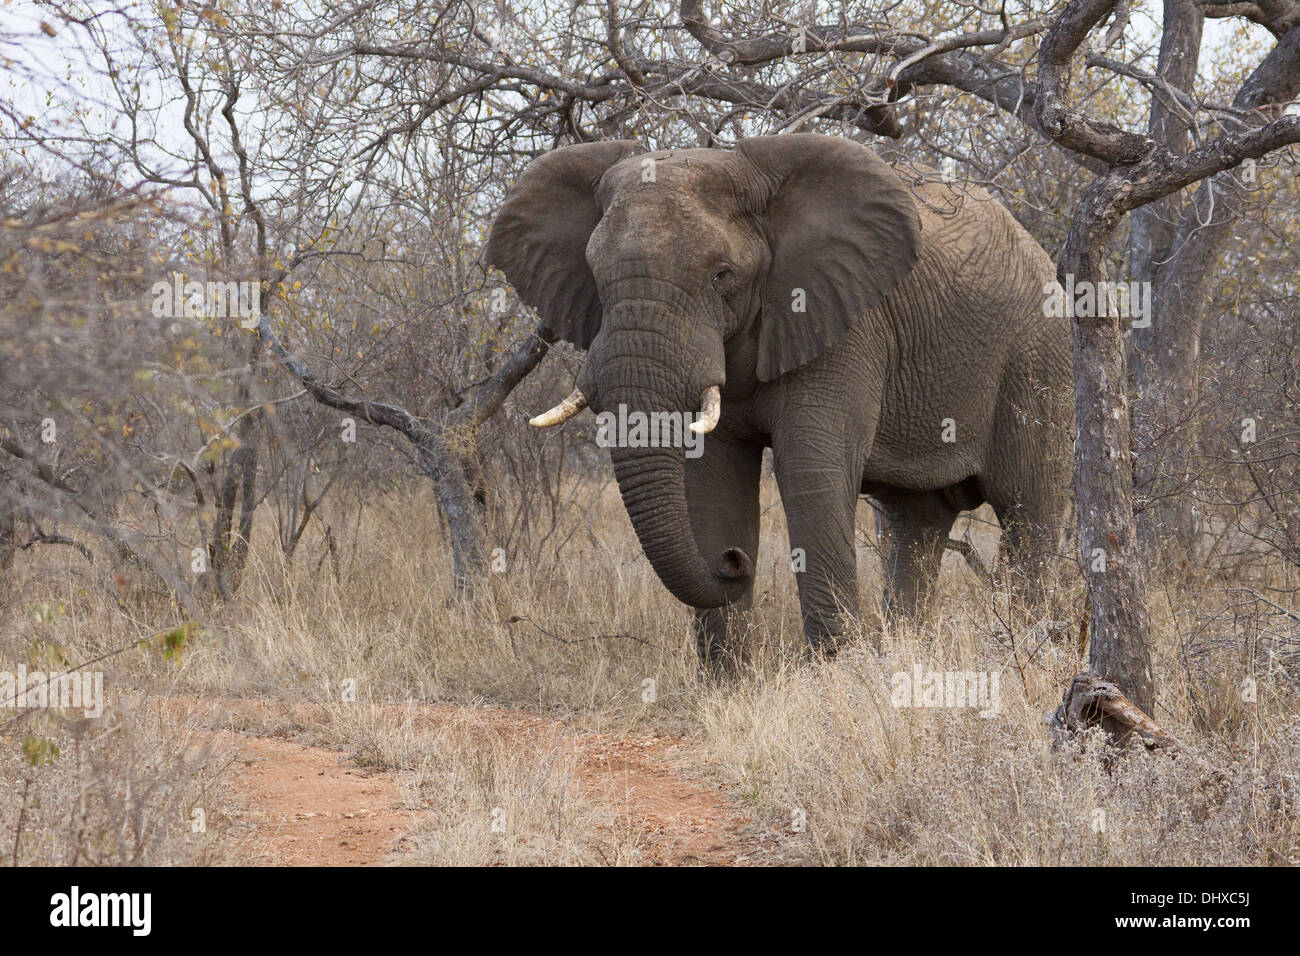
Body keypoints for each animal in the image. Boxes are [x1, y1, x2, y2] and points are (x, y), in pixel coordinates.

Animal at [486, 133, 1073, 665]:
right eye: (596, 276)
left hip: (1038, 358)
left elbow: (811, 472)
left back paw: (1028, 649)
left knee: (1028, 507)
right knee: (914, 525)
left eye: (722, 275)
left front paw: (836, 674)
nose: (733, 561)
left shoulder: (842, 321)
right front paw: (728, 685)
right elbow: (714, 483)